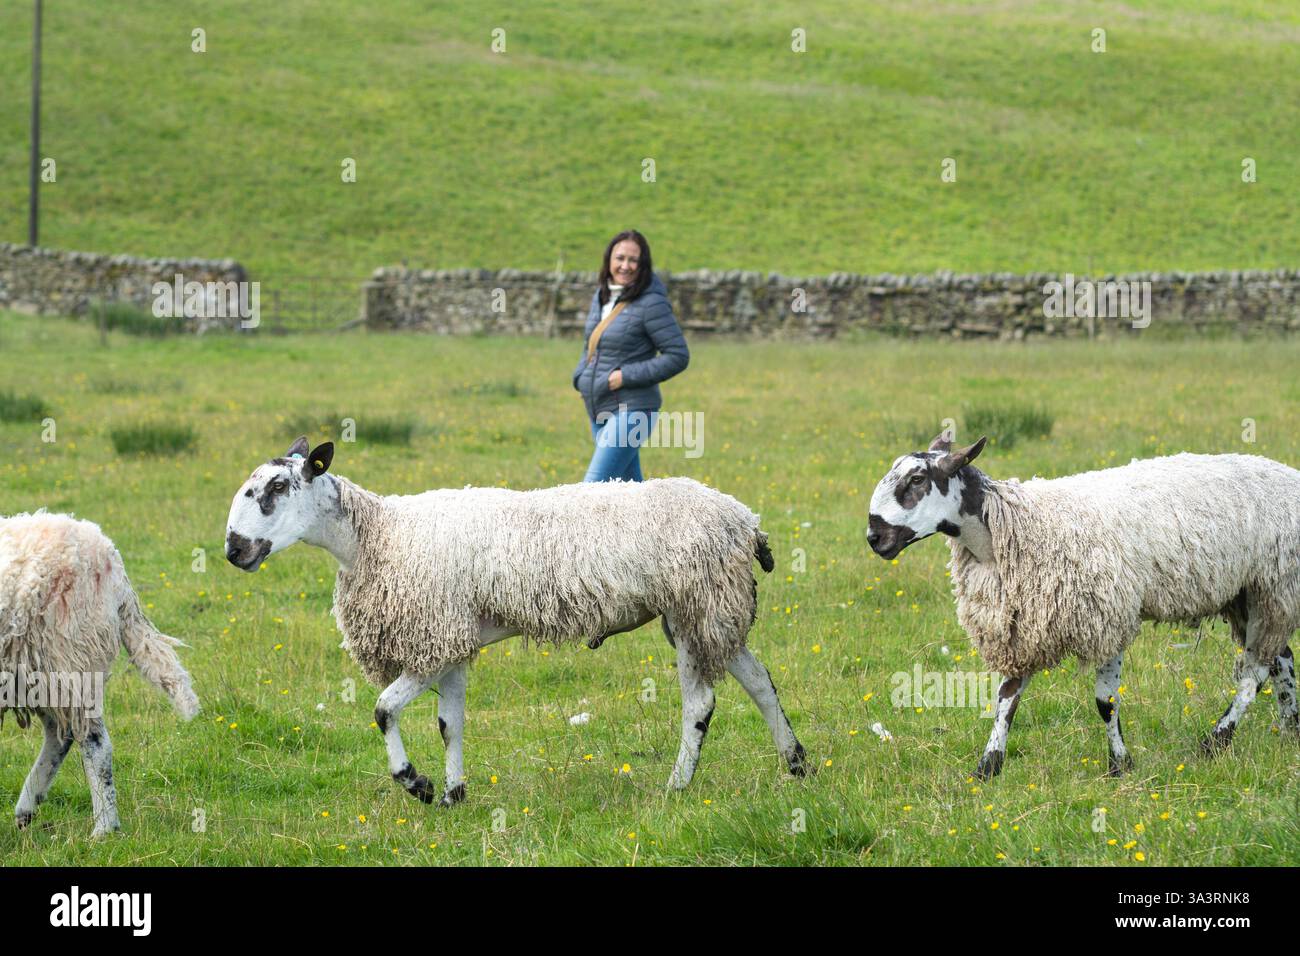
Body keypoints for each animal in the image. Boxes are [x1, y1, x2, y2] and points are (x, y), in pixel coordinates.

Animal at [1, 512, 200, 835]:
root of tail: (110, 556)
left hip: (70, 659)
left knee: (95, 745)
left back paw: (104, 828)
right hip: (39, 672)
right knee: (61, 735)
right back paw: (27, 808)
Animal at [224, 438, 808, 806]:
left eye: (278, 487)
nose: (233, 550)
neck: (377, 537)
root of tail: (746, 520)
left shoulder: (433, 639)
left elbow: (384, 711)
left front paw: (418, 785)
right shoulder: (452, 640)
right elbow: (450, 723)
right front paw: (454, 796)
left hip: (697, 606)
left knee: (701, 702)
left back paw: (677, 786)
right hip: (713, 610)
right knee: (760, 682)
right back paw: (797, 763)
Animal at [866, 436, 1300, 779]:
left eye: (917, 480)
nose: (874, 538)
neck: (1014, 527)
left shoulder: (1108, 617)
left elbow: (1105, 704)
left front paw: (1120, 764)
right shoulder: (1025, 623)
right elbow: (1007, 698)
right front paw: (988, 766)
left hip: (1273, 586)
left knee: (1255, 673)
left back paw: (1216, 739)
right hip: (1248, 593)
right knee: (1281, 659)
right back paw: (1290, 728)